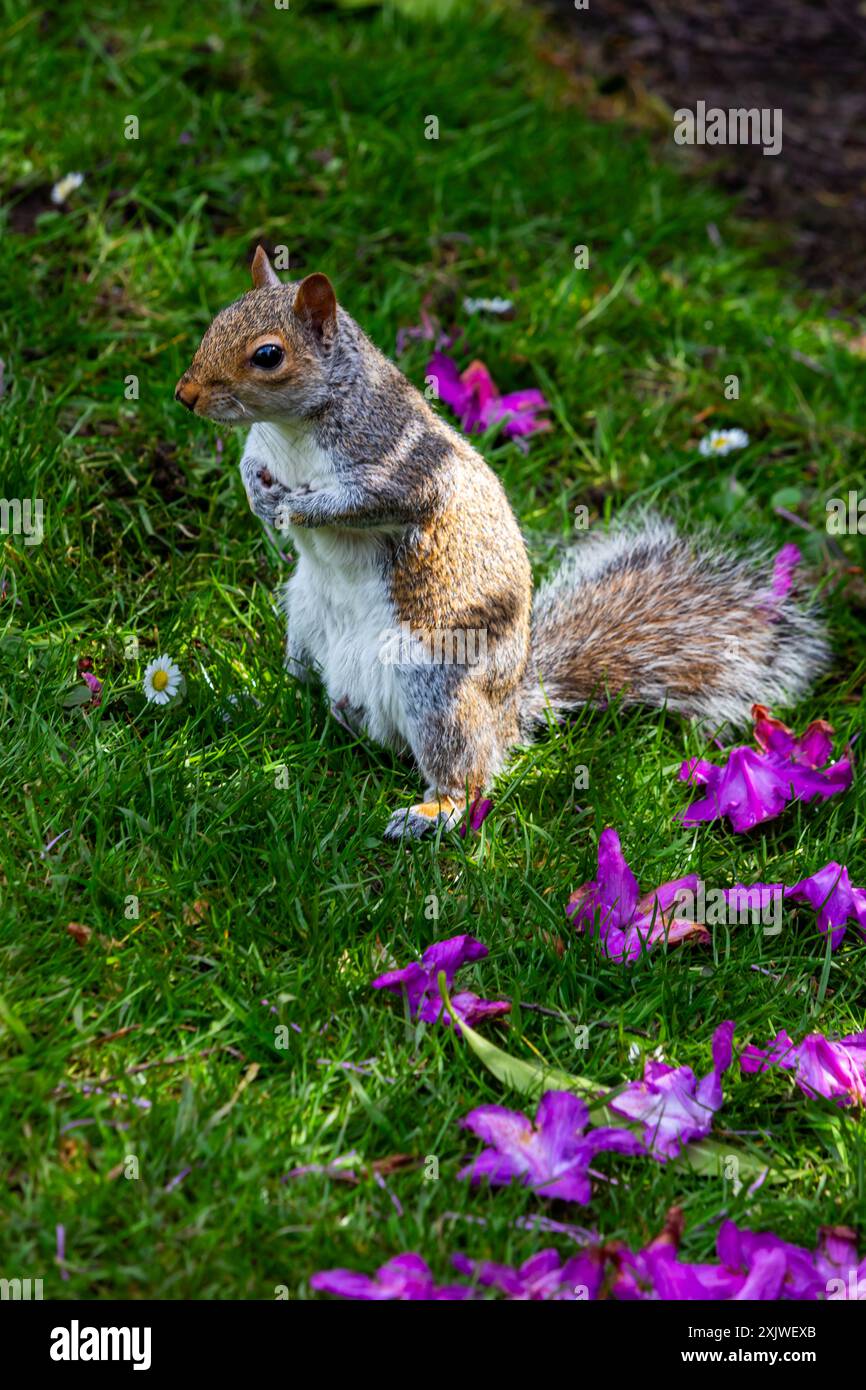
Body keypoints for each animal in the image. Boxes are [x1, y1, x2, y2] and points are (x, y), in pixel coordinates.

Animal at [175, 246, 829, 840]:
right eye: (217, 320)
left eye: (268, 355)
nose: (185, 394)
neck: (294, 429)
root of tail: (508, 716)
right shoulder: (264, 446)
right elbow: (250, 465)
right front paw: (259, 497)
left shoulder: (401, 466)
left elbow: (368, 503)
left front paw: (298, 508)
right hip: (305, 627)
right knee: (304, 693)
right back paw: (254, 704)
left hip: (436, 685)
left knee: (466, 773)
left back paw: (434, 812)